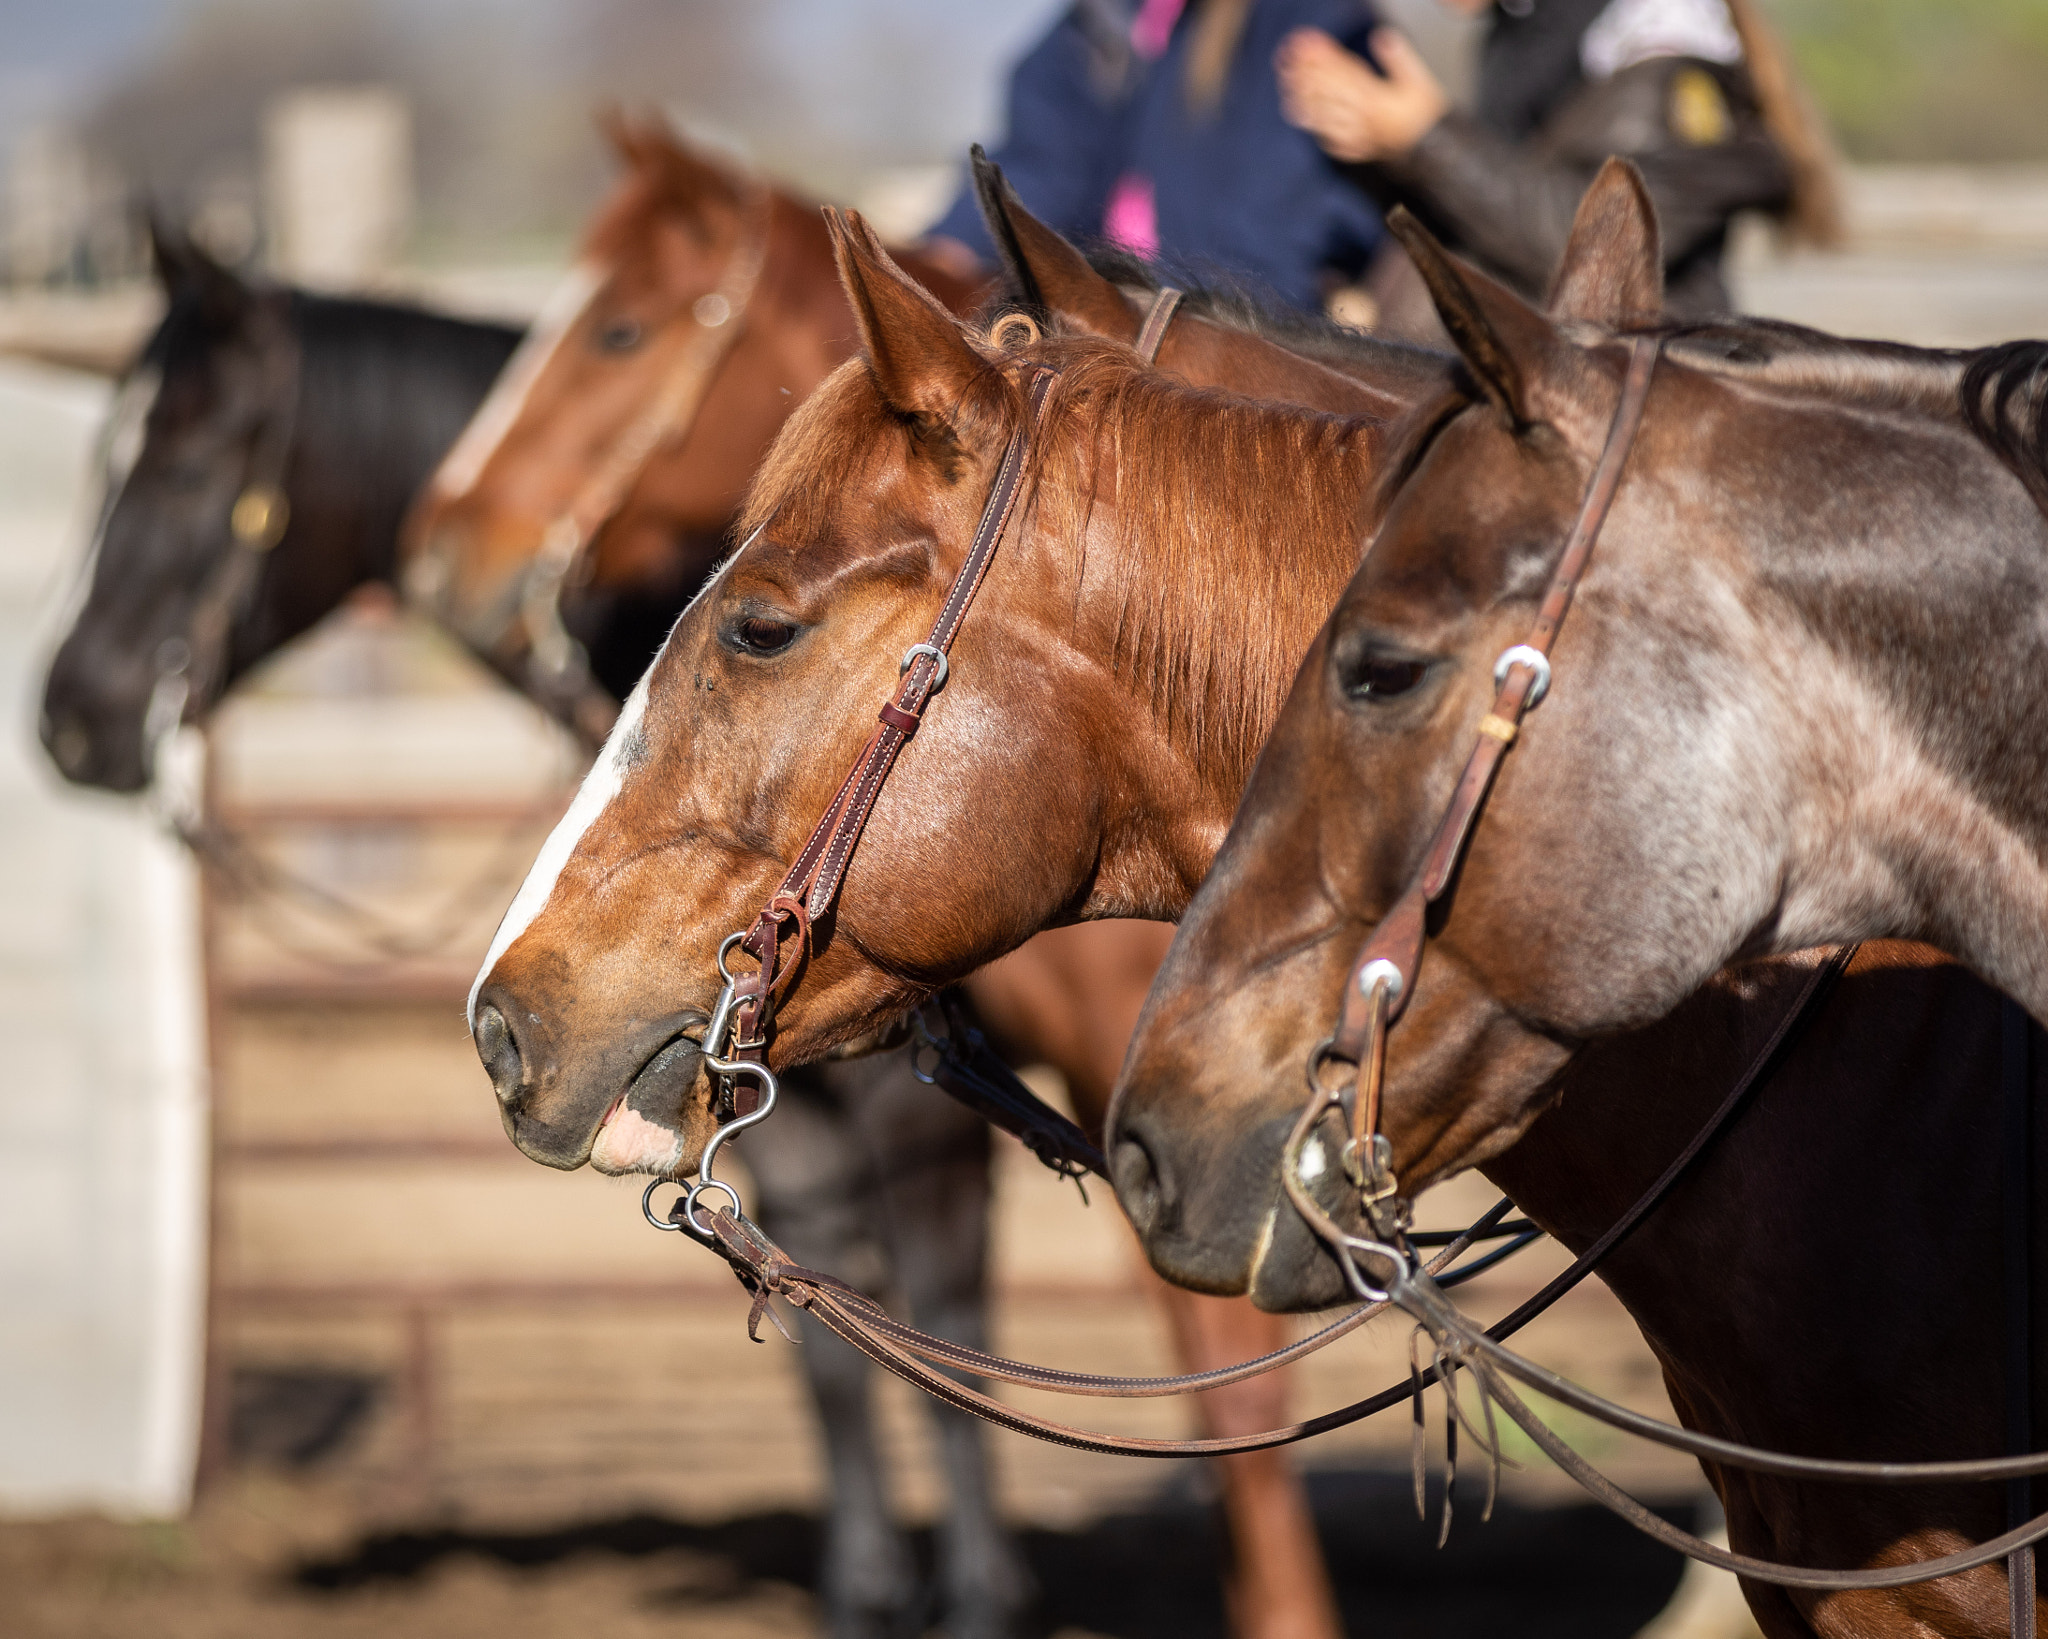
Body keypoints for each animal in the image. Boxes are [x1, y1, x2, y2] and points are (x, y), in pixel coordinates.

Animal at [44, 221, 1040, 1639]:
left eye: (181, 457)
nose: (69, 715)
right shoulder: (757, 1088)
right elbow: (825, 1337)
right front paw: (865, 1591)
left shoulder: (925, 1112)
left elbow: (945, 1329)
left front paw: (979, 1598)